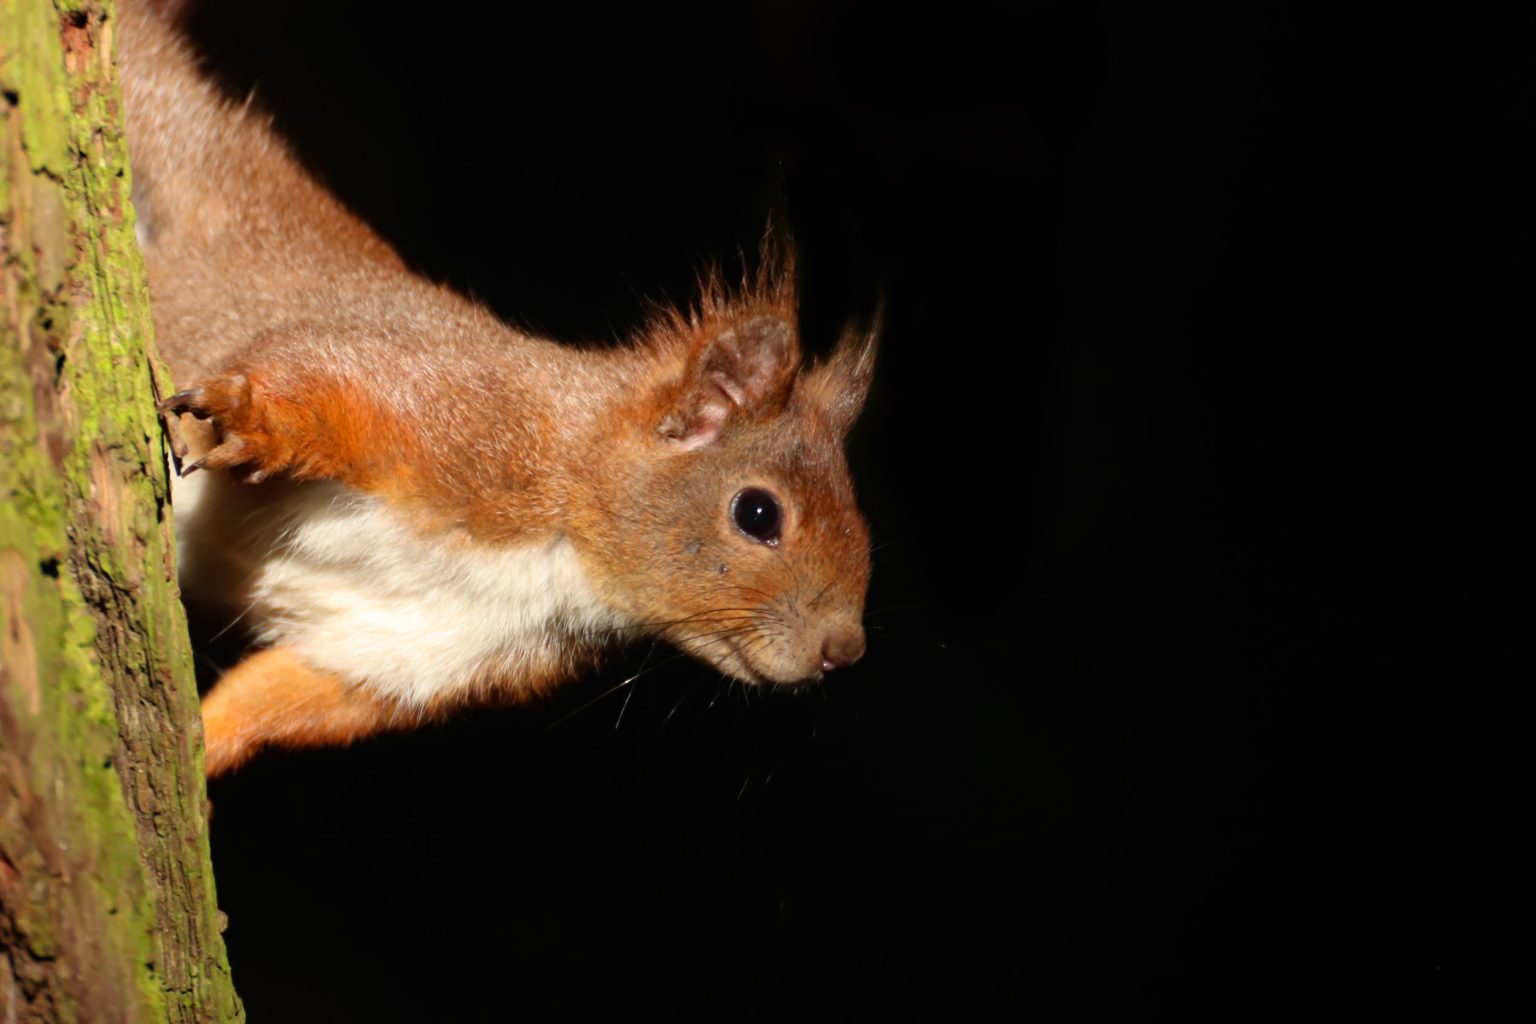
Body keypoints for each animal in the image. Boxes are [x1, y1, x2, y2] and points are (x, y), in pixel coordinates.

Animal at [116, 4, 875, 776]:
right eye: (758, 513)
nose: (844, 650)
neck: (560, 561)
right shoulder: (456, 409)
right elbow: (321, 377)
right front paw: (253, 421)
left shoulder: (402, 655)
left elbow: (274, 699)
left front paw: (197, 753)